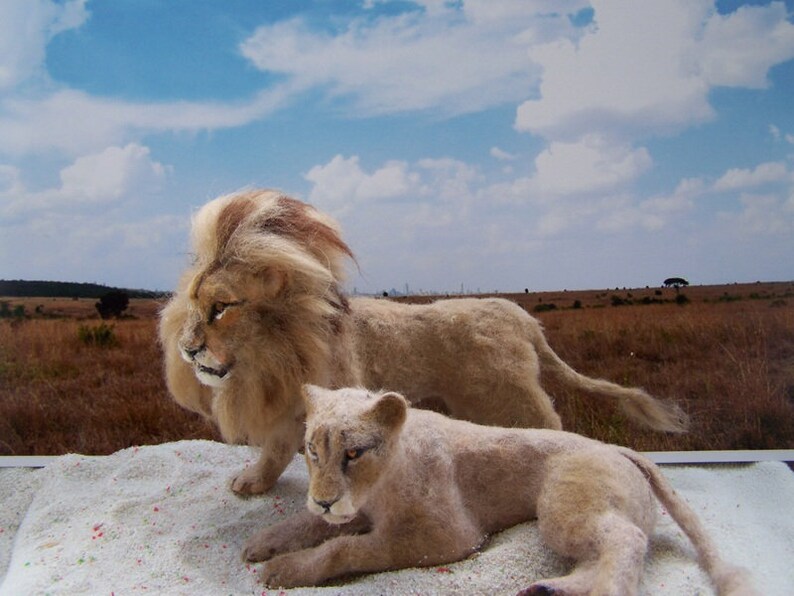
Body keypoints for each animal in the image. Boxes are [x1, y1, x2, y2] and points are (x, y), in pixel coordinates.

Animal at [158, 189, 687, 496]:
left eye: (221, 308)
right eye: (192, 303)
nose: (187, 348)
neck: (277, 352)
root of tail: (521, 317)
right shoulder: (291, 413)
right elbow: (273, 454)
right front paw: (252, 482)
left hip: (516, 398)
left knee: (553, 429)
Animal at [242, 385, 756, 595]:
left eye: (353, 453)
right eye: (311, 450)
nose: (325, 499)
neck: (382, 481)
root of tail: (622, 449)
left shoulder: (447, 538)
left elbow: (345, 548)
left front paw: (284, 569)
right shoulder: (357, 511)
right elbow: (309, 524)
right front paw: (263, 543)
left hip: (562, 509)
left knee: (626, 541)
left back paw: (601, 592)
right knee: (602, 551)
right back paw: (545, 590)